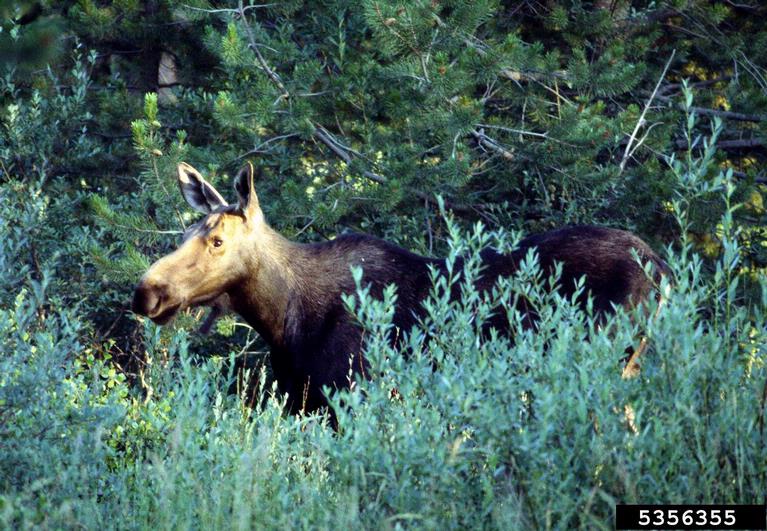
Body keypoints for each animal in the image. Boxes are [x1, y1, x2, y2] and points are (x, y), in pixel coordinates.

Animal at [132, 162, 670, 415]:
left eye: (217, 240)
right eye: (185, 231)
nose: (146, 292)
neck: (284, 323)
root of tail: (665, 269)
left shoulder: (355, 394)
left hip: (612, 365)